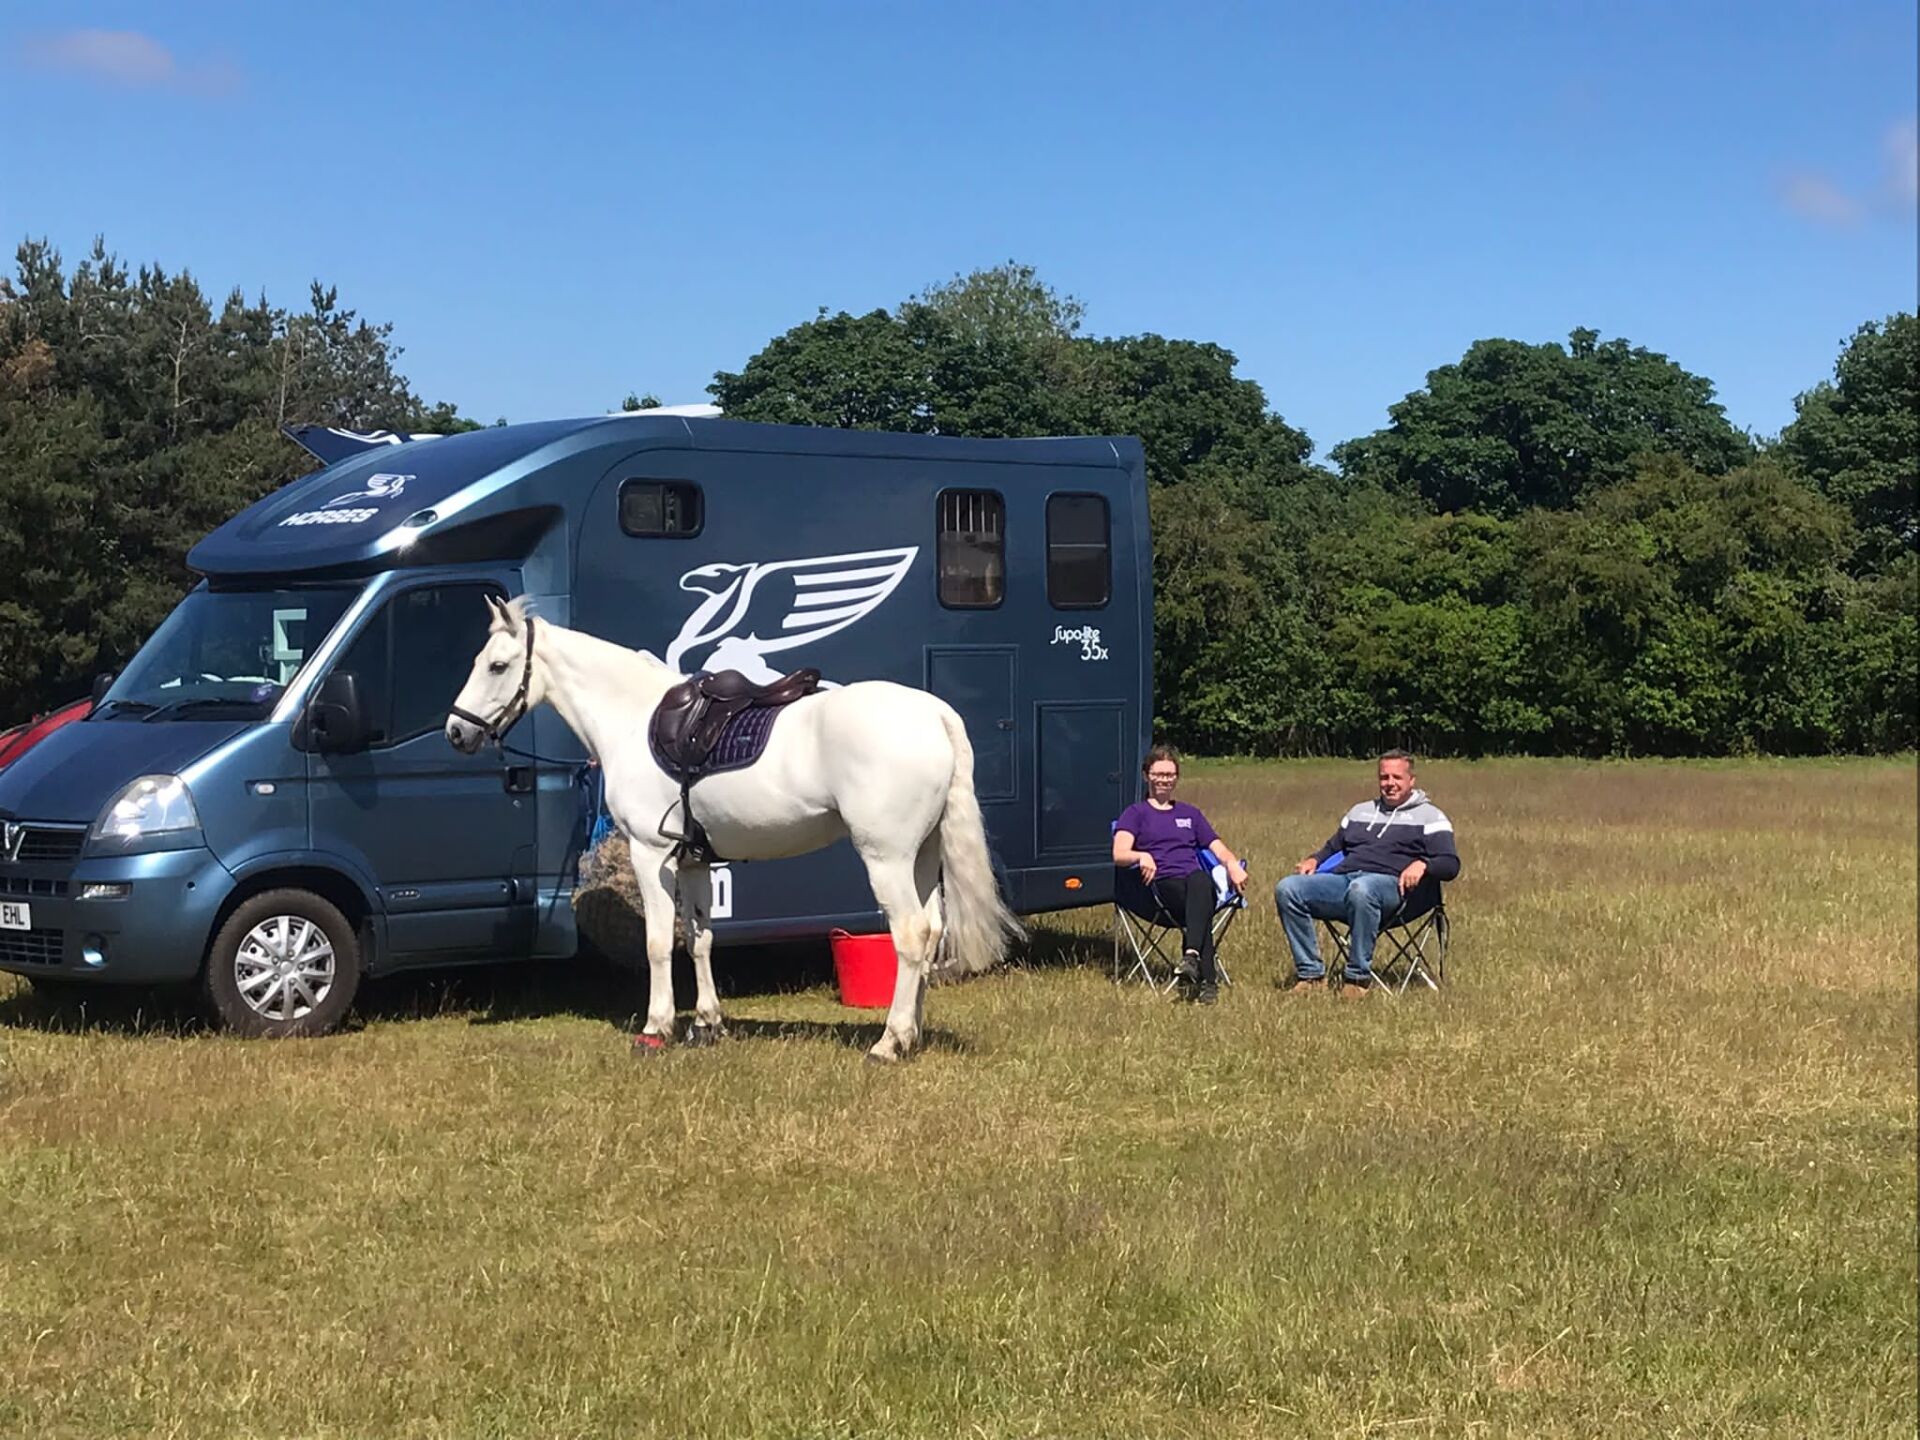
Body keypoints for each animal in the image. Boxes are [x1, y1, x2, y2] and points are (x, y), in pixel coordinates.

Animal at [444, 595, 1022, 1062]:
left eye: (498, 665)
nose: (455, 732)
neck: (635, 721)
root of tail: (934, 715)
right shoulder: (694, 859)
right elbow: (701, 938)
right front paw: (706, 1023)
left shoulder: (650, 854)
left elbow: (658, 942)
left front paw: (656, 1028)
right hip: (922, 856)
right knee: (933, 931)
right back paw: (913, 1035)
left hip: (886, 857)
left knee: (909, 934)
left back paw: (889, 1042)